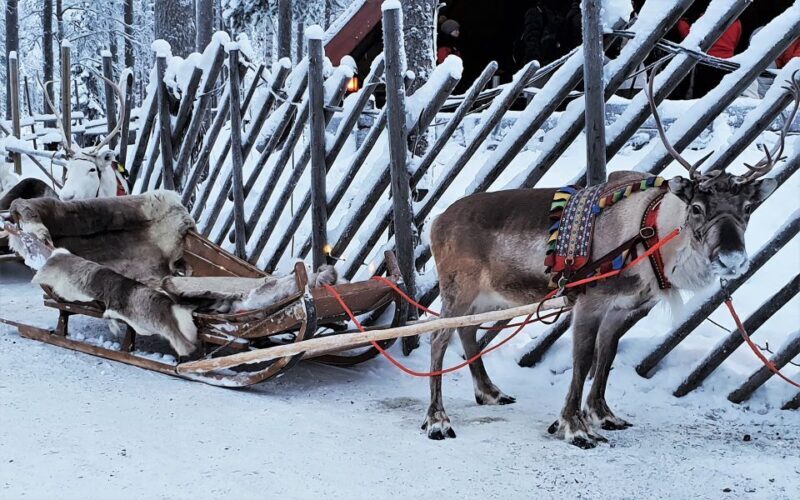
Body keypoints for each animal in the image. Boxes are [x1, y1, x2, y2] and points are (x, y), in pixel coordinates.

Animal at [423, 69, 797, 447]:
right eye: (696, 208)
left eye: (747, 208)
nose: (732, 258)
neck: (652, 232)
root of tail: (437, 221)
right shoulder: (590, 302)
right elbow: (583, 360)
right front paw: (574, 426)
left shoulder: (622, 309)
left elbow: (606, 358)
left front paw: (602, 415)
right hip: (459, 290)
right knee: (438, 339)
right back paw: (438, 420)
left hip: (489, 296)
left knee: (467, 332)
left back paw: (490, 391)